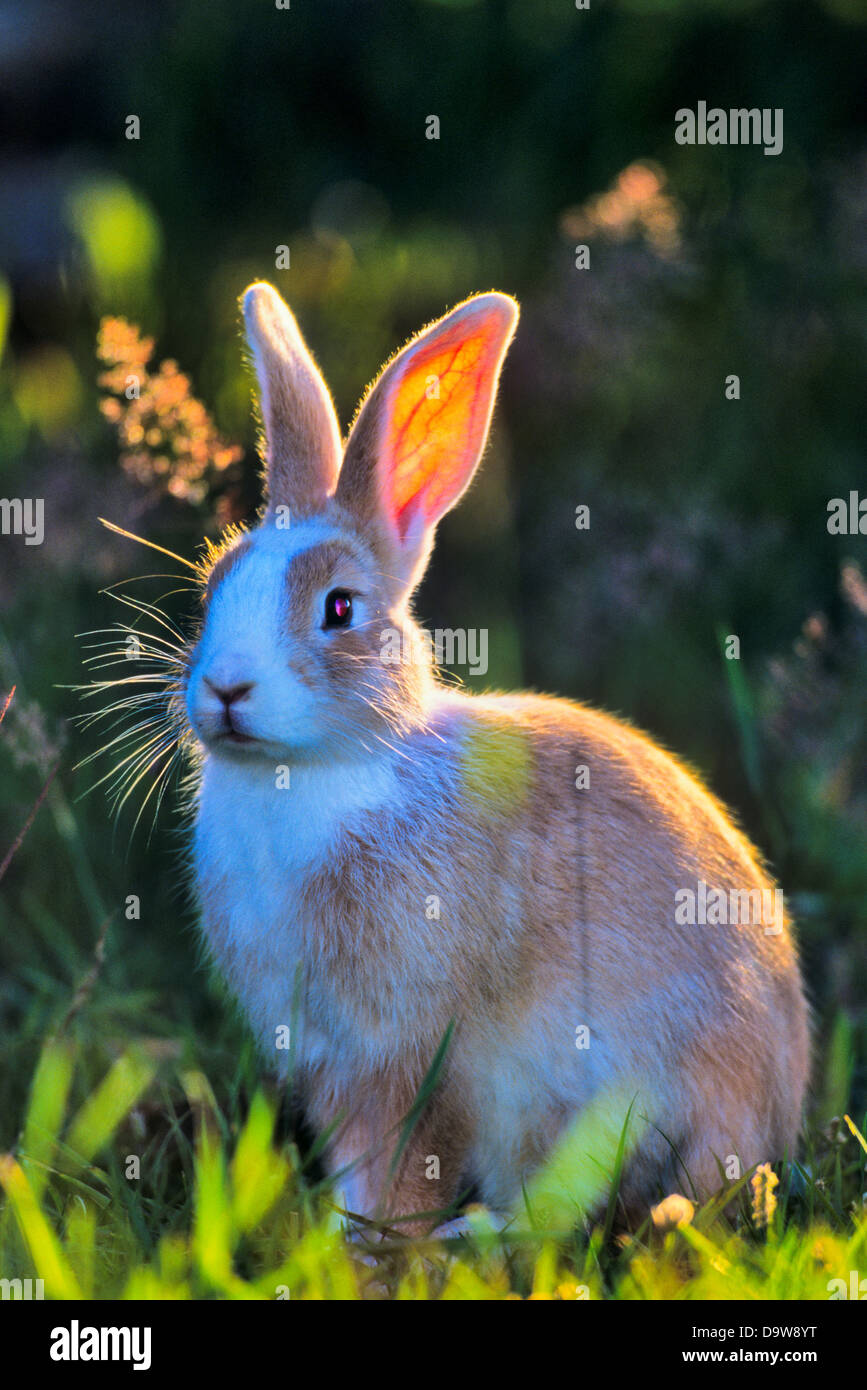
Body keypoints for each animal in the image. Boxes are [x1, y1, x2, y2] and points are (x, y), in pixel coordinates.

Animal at [182, 280, 809, 1234]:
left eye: (339, 609)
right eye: (215, 586)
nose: (225, 686)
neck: (325, 767)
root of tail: (771, 1117)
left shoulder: (407, 1053)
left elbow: (401, 1163)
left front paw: (371, 1242)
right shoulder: (331, 1061)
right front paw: (334, 1236)